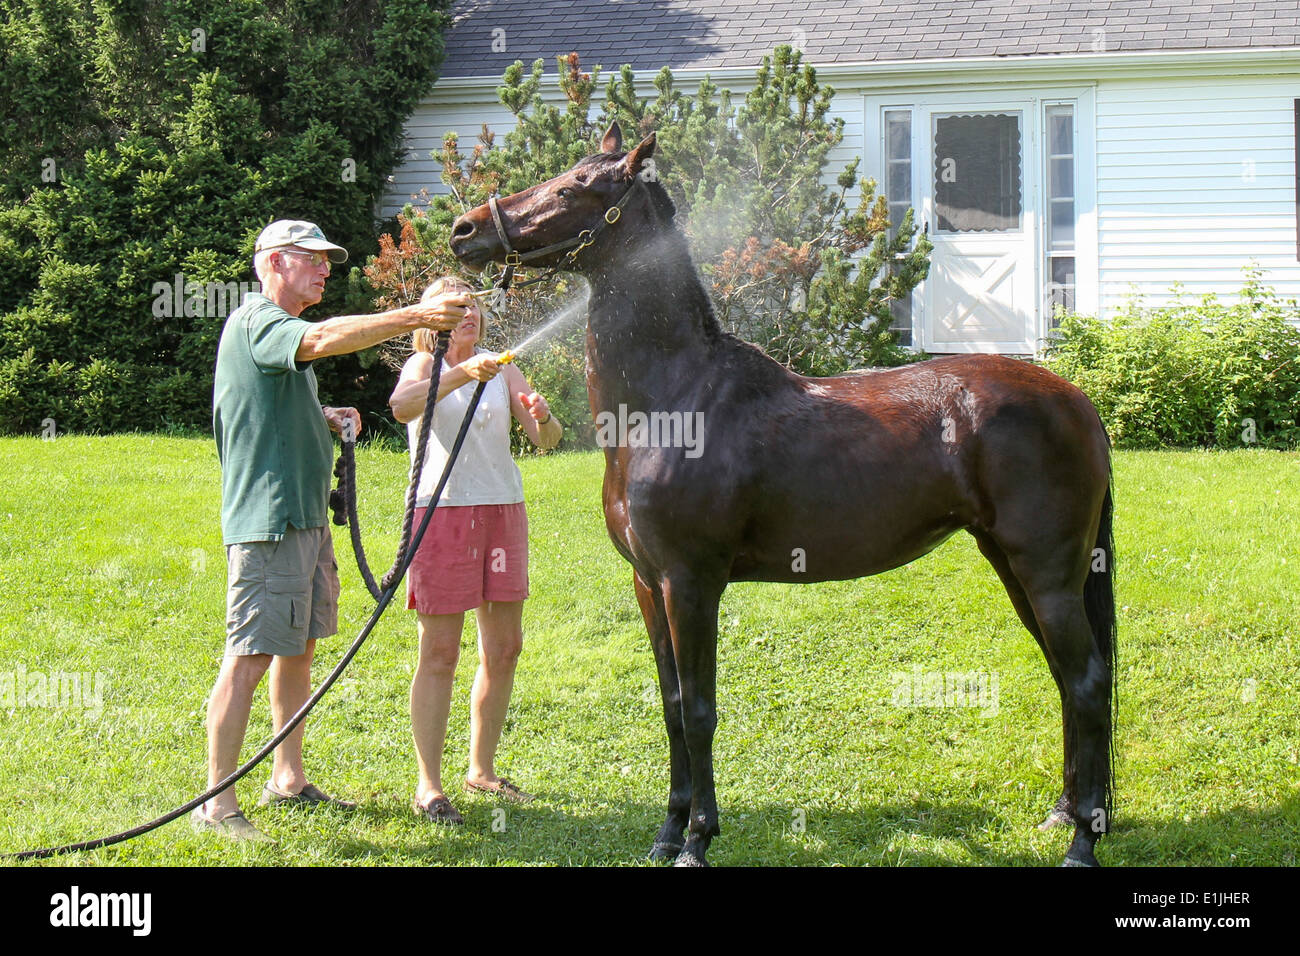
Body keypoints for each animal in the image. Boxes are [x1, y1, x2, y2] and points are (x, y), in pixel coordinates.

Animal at [450, 122, 1117, 867]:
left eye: (576, 186)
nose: (464, 229)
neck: (675, 400)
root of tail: (1078, 401)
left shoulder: (691, 583)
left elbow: (700, 710)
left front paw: (698, 840)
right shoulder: (649, 585)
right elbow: (672, 706)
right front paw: (666, 834)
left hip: (1047, 573)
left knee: (1087, 683)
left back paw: (1082, 843)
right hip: (1018, 569)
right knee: (1068, 679)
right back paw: (1063, 814)